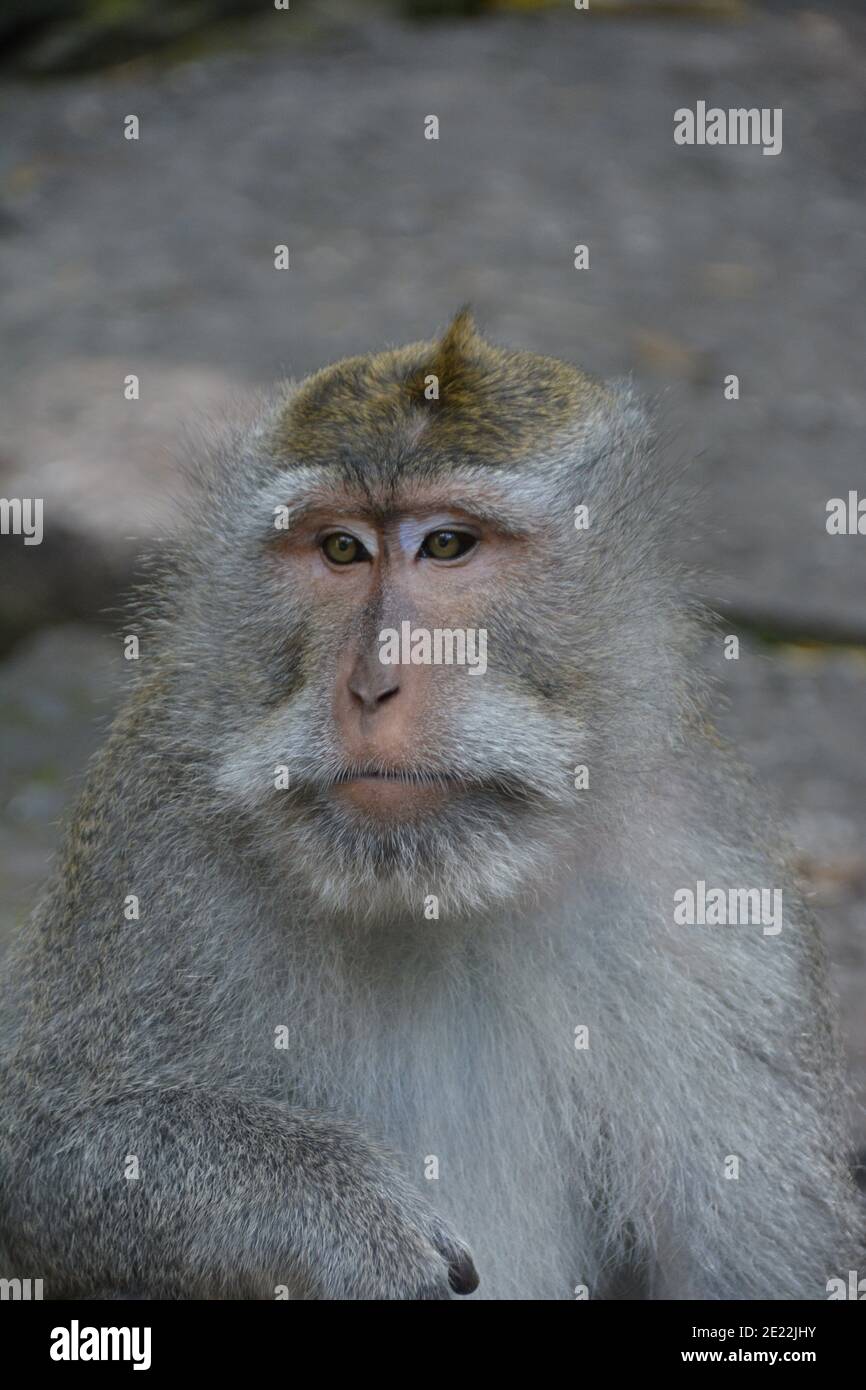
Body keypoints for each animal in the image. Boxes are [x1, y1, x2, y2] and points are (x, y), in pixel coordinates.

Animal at [0, 309, 860, 1300]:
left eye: (449, 545)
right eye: (341, 548)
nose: (373, 683)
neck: (439, 884)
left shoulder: (715, 888)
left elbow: (767, 1266)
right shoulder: (147, 831)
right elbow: (43, 1151)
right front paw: (342, 1222)